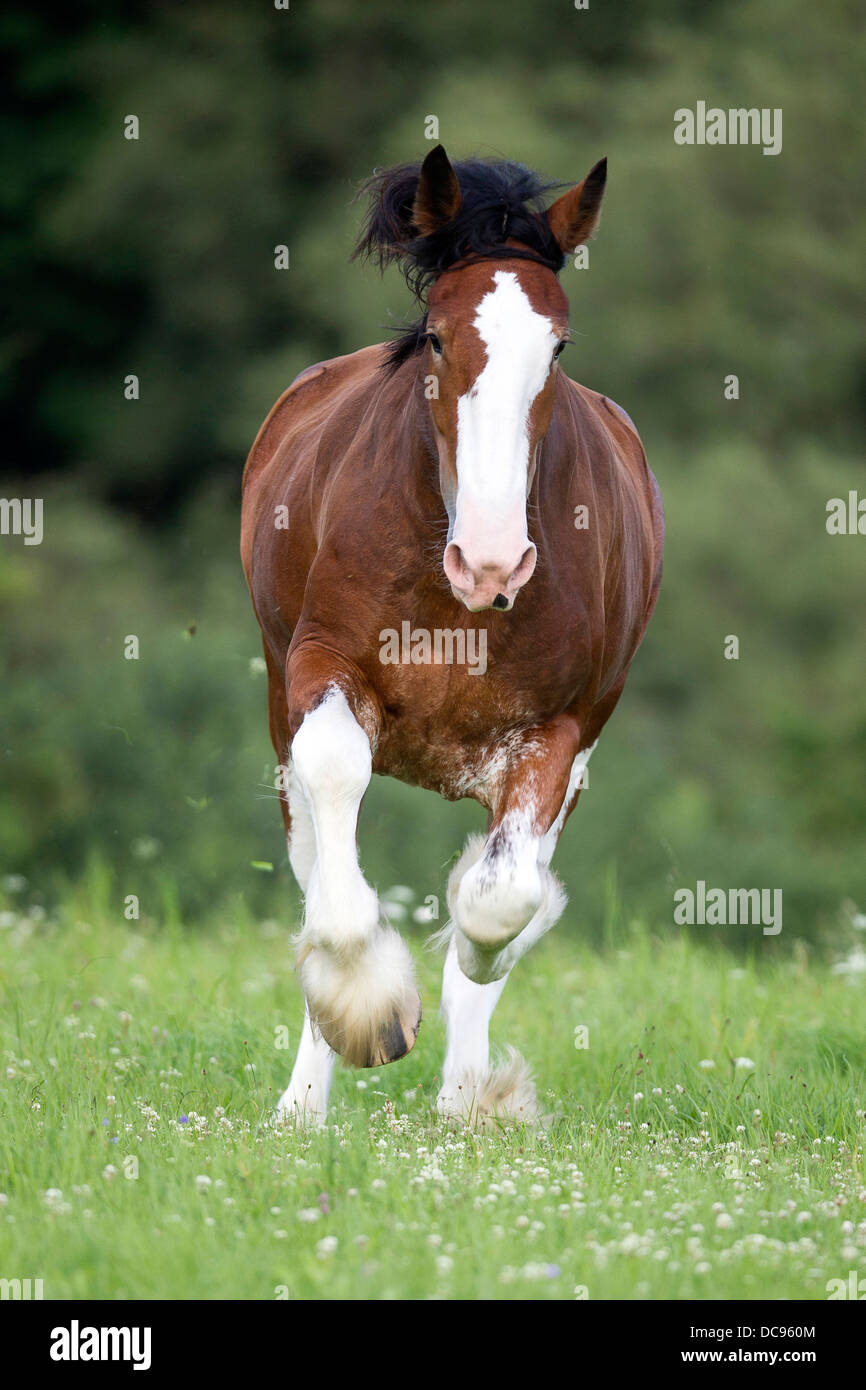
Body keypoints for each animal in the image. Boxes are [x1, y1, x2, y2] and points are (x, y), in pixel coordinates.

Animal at [241, 145, 664, 1126]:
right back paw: (304, 1101)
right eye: (438, 337)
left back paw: (466, 1098)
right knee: (317, 865)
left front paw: (477, 1053)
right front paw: (370, 1010)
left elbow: (498, 897)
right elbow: (335, 799)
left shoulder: (556, 733)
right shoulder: (321, 669)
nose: (493, 562)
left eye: (557, 346)